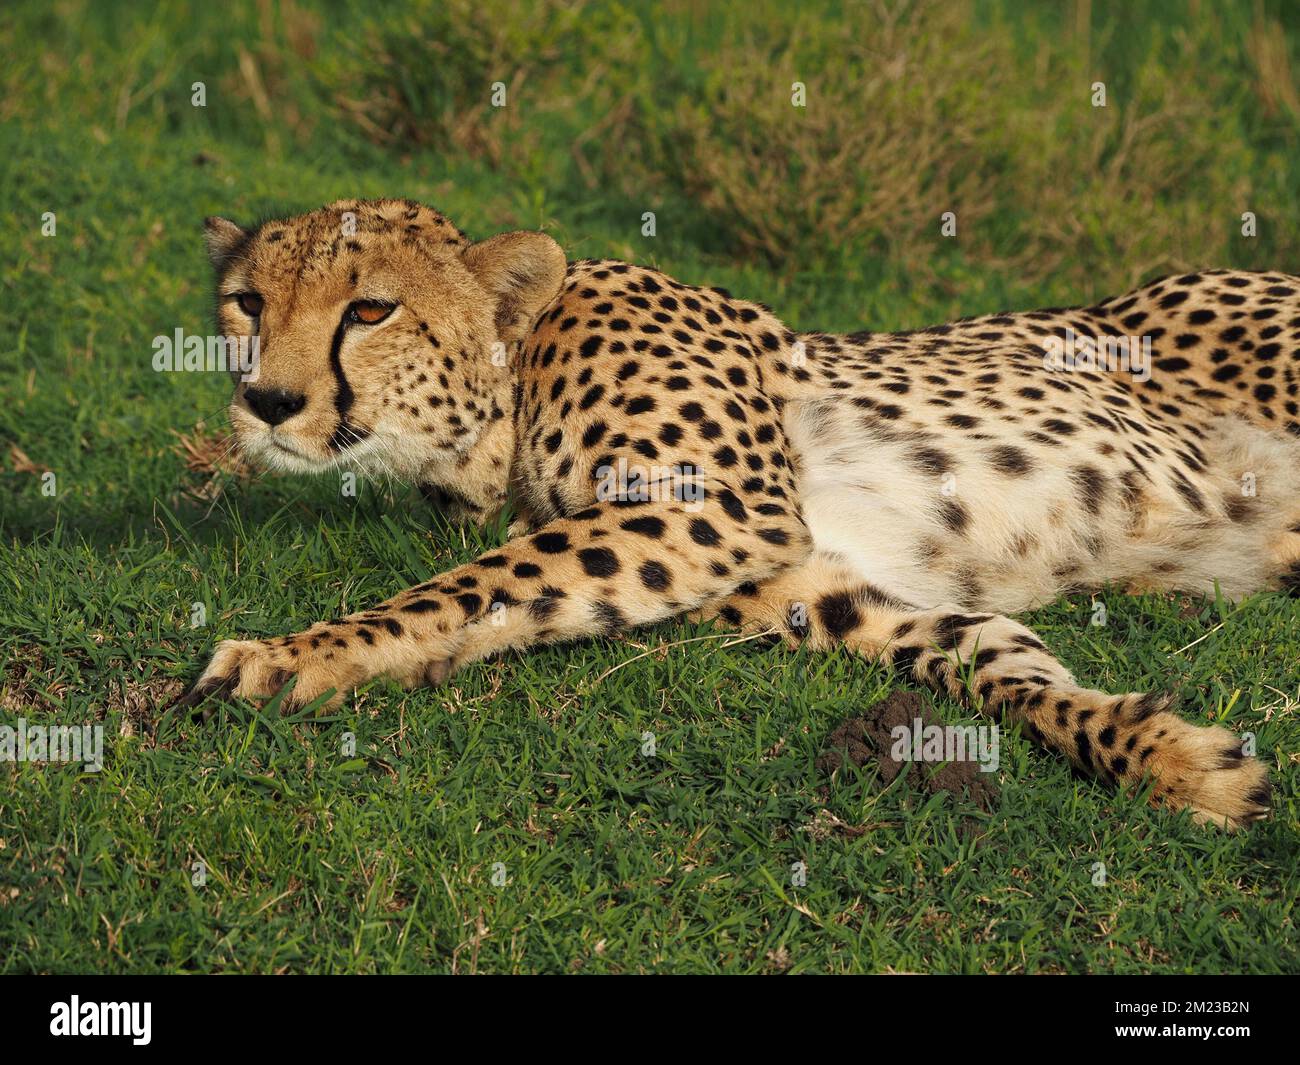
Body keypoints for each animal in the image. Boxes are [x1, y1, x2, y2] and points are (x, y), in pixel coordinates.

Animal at [179, 197, 1300, 830]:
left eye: (371, 309)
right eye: (247, 302)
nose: (267, 402)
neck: (507, 405)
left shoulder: (721, 508)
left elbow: (461, 587)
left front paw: (290, 652)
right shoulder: (807, 579)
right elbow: (992, 659)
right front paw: (1168, 758)